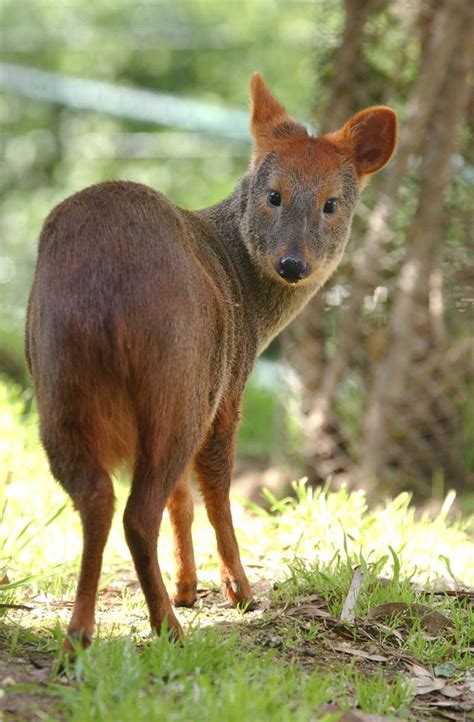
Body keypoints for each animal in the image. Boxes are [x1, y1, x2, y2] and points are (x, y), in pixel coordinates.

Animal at [25, 73, 397, 650]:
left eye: (331, 204)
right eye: (274, 195)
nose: (293, 264)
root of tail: (105, 287)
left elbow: (181, 496)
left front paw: (187, 586)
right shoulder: (229, 387)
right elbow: (216, 488)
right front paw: (238, 591)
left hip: (58, 386)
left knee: (99, 498)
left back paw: (81, 633)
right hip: (177, 380)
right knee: (137, 511)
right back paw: (167, 628)